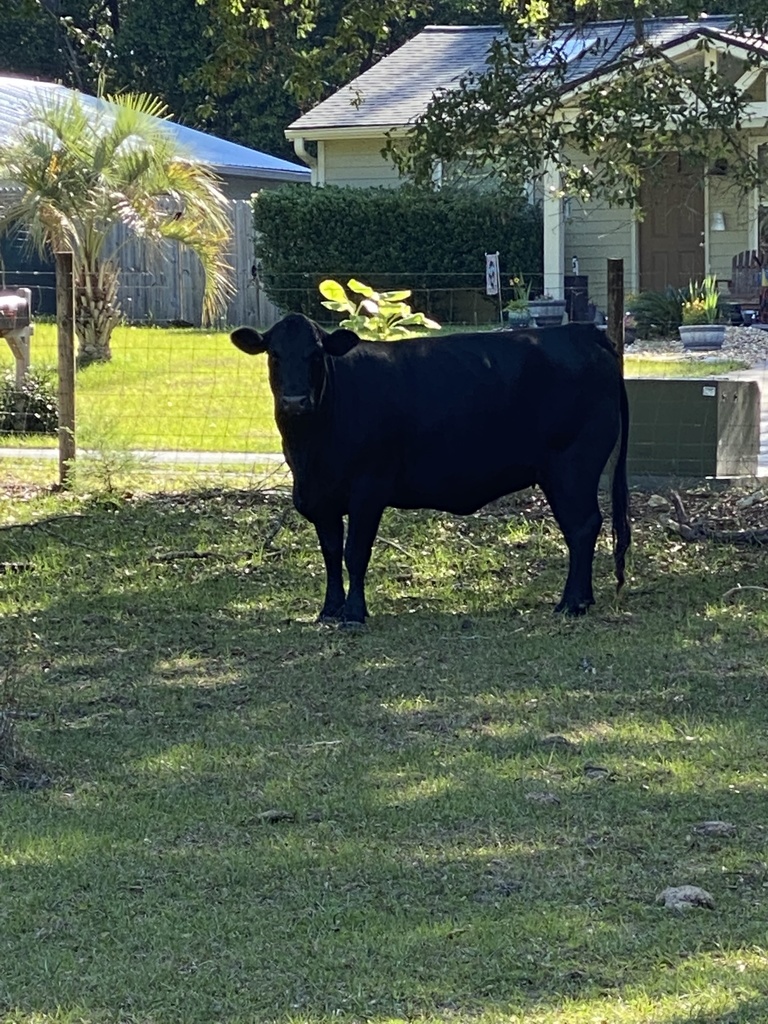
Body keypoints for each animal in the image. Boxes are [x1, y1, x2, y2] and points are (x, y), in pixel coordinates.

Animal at [231, 314, 630, 623]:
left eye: (315, 355)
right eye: (274, 355)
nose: (295, 401)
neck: (310, 451)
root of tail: (581, 331)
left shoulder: (368, 490)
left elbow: (355, 553)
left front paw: (354, 614)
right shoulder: (320, 498)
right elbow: (330, 553)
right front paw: (330, 610)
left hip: (572, 467)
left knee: (582, 527)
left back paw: (571, 603)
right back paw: (583, 599)